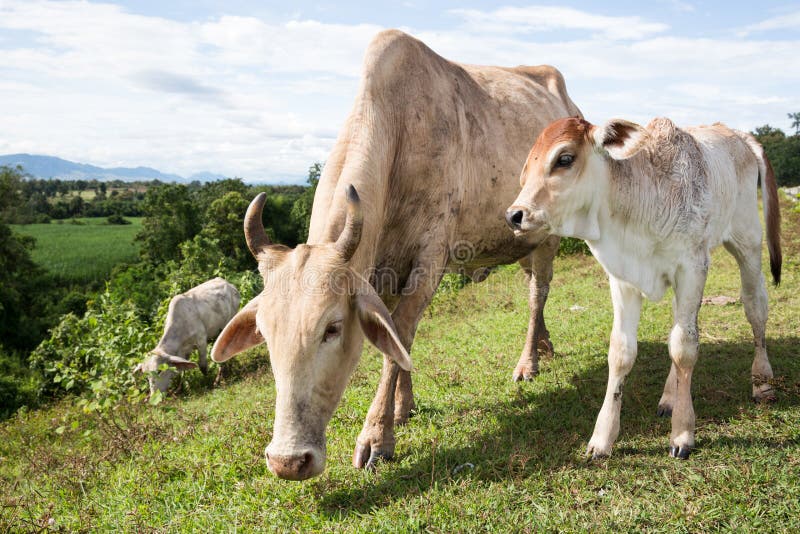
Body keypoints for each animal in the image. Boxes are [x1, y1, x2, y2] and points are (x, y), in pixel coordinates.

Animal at [210, 29, 582, 480]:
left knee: (536, 294)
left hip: (548, 237)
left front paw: (376, 438)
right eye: (264, 332)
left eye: (331, 328)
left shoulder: (429, 260)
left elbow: (399, 336)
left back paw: (529, 362)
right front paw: (404, 408)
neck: (398, 133)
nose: (288, 461)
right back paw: (544, 345)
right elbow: (397, 339)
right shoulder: (380, 274)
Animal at [506, 116, 782, 459]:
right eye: (528, 164)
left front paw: (682, 433)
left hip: (748, 242)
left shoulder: (692, 267)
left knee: (755, 306)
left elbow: (684, 347)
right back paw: (669, 396)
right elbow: (622, 352)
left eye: (564, 159)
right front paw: (603, 438)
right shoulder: (623, 280)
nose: (515, 215)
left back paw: (762, 380)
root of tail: (738, 134)